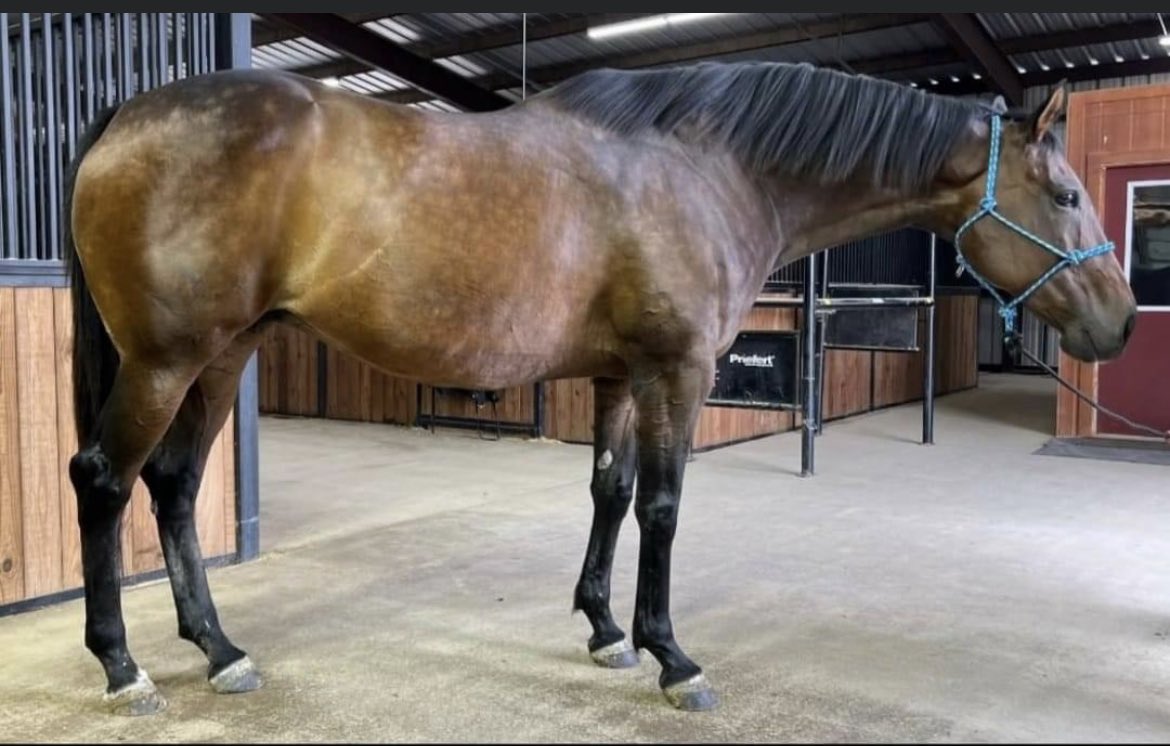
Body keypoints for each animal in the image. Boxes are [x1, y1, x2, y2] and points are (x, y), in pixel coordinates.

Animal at [64, 60, 1137, 716]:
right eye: (1067, 195)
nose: (1119, 325)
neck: (712, 170)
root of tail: (128, 113)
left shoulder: (622, 374)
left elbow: (611, 494)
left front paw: (608, 630)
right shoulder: (680, 370)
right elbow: (663, 506)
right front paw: (674, 658)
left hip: (224, 356)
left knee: (172, 485)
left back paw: (220, 650)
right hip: (167, 359)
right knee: (105, 481)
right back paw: (123, 667)